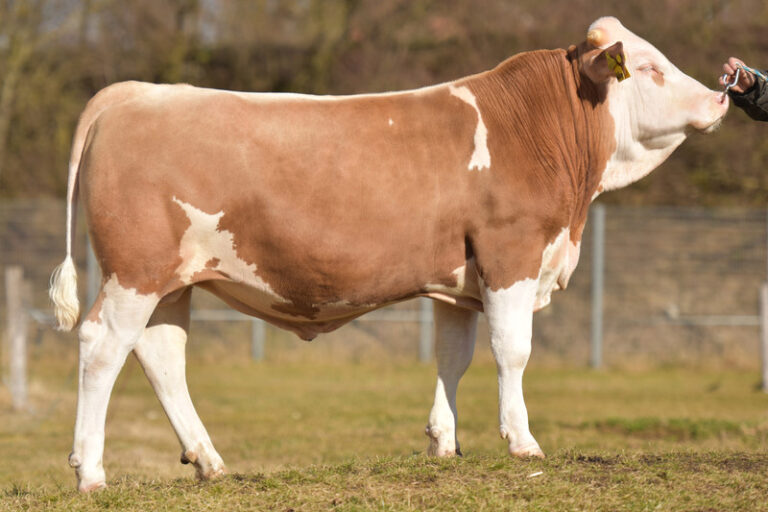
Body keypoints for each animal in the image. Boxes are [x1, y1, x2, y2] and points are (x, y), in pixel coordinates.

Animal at [49, 17, 728, 491]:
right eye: (650, 67)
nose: (721, 95)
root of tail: (133, 93)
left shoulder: (461, 279)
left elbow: (453, 357)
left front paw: (444, 443)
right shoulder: (511, 253)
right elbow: (512, 352)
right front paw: (522, 442)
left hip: (173, 280)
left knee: (162, 356)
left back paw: (209, 462)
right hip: (135, 272)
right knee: (102, 346)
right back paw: (91, 472)